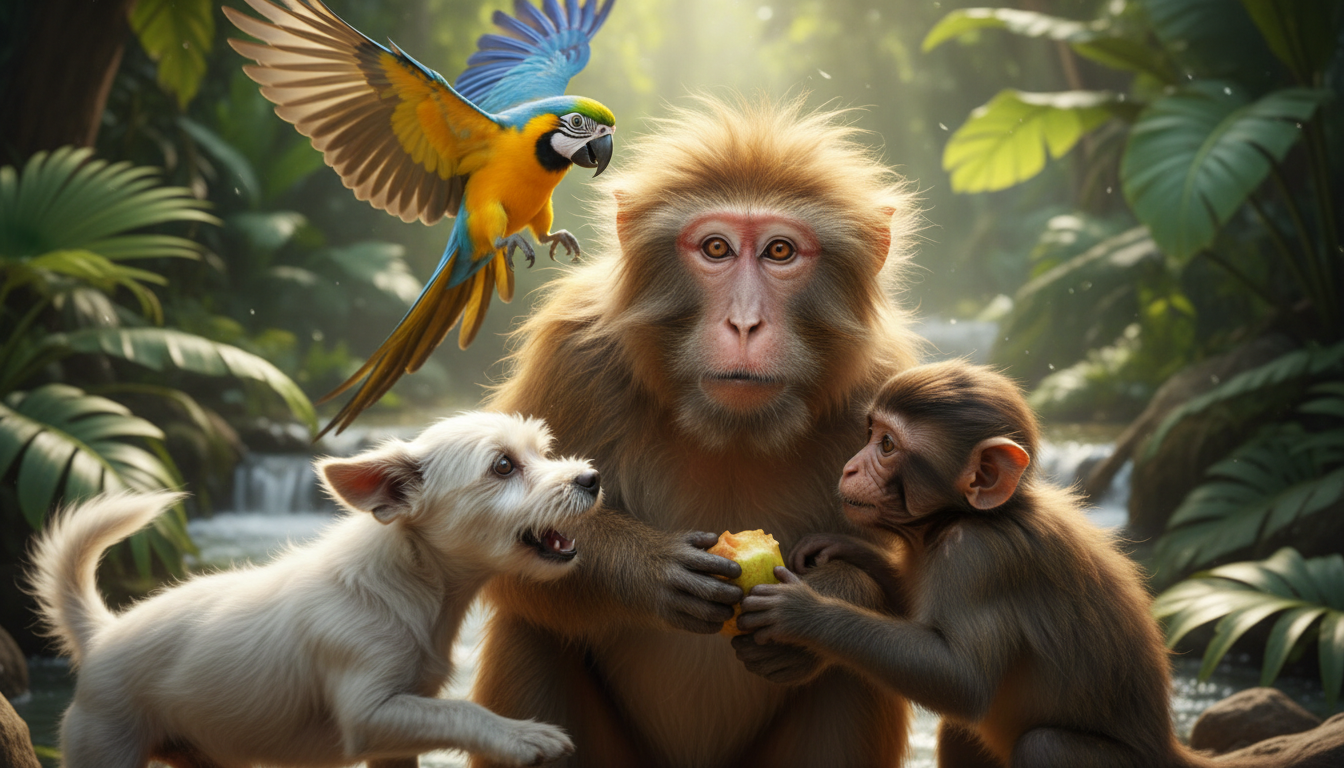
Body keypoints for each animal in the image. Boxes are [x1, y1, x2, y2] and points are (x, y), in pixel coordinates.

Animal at [471, 95, 923, 767]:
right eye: (715, 248)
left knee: (856, 673)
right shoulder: (573, 357)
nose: (744, 323)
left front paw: (823, 603)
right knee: (532, 632)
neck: (733, 429)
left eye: (780, 252)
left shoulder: (888, 385)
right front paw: (651, 569)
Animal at [735, 360, 1233, 768]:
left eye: (888, 445)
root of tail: (1173, 750)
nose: (850, 468)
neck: (962, 516)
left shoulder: (978, 559)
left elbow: (961, 679)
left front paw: (801, 612)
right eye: (870, 434)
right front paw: (840, 548)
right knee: (961, 733)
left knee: (1044, 747)